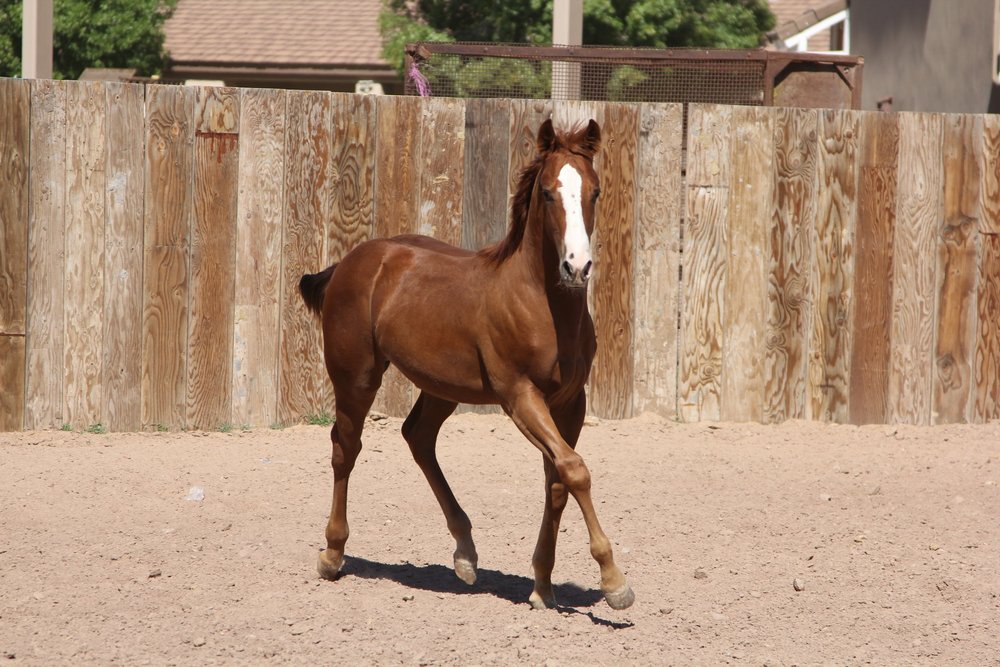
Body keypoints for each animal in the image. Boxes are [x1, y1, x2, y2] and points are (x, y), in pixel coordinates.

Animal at [298, 118, 634, 611]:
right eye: (548, 193)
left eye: (595, 191)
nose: (577, 267)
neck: (542, 305)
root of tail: (350, 261)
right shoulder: (520, 396)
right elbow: (575, 470)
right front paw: (614, 582)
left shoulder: (571, 402)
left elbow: (558, 479)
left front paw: (543, 586)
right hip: (356, 377)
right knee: (346, 447)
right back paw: (332, 554)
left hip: (441, 386)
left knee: (417, 437)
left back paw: (465, 553)